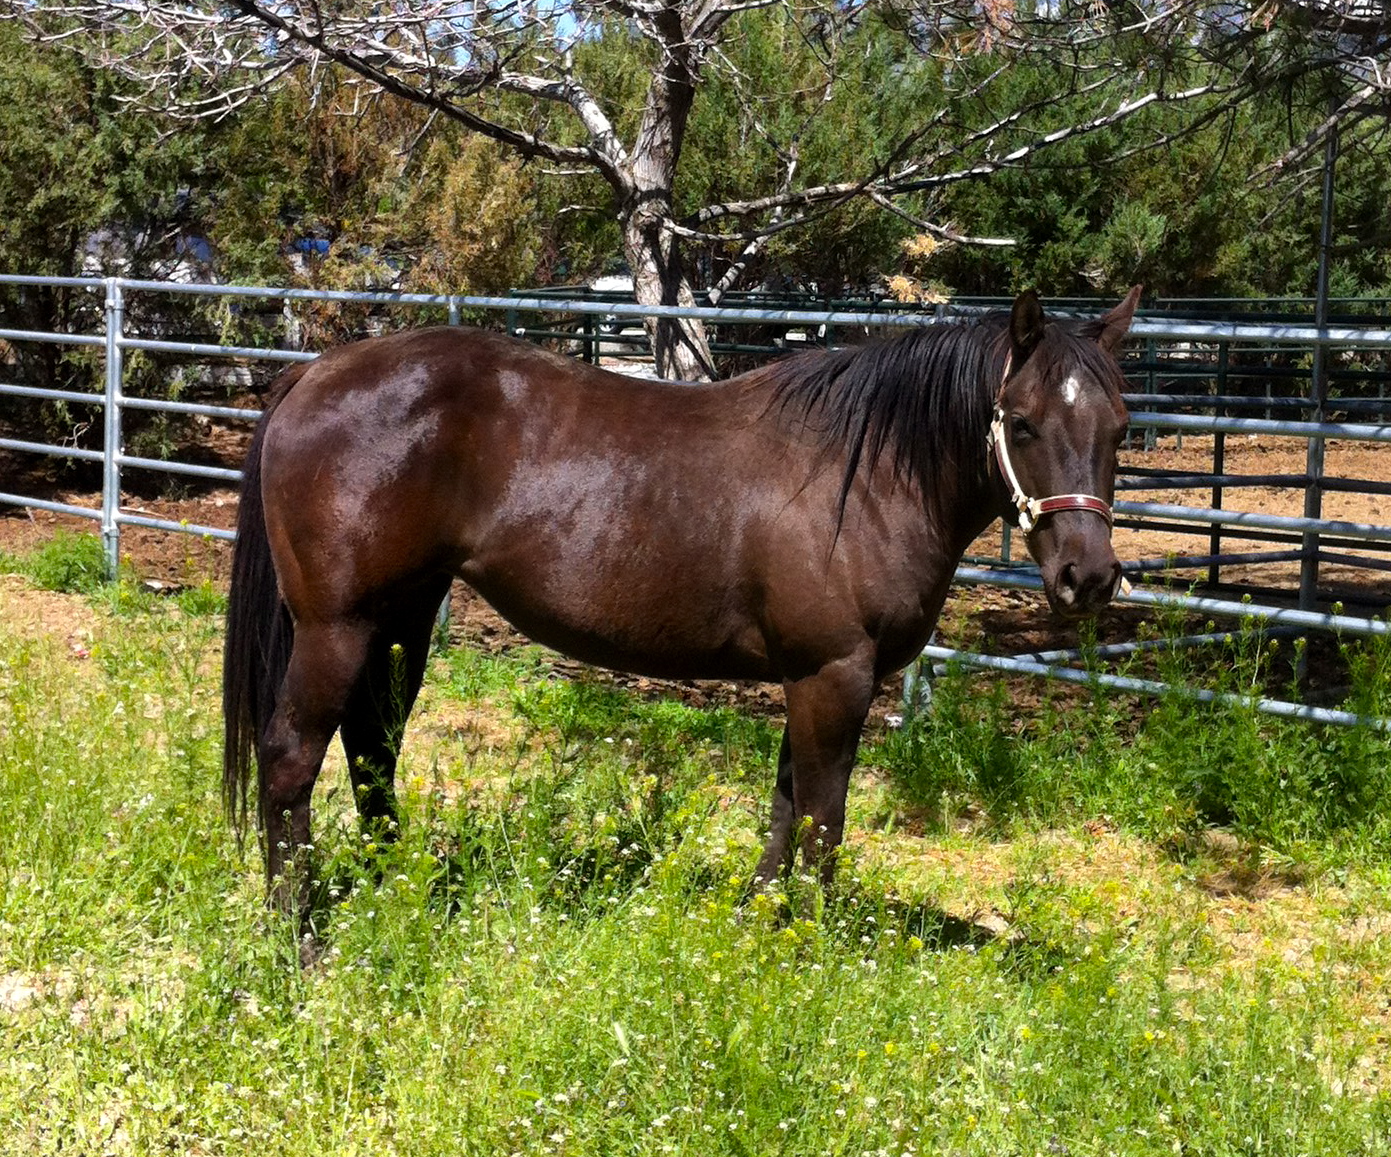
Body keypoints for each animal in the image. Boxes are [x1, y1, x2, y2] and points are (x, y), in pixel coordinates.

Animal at [223, 287, 1139, 915]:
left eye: (1121, 426)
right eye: (1020, 422)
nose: (1087, 577)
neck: (863, 473)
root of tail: (313, 373)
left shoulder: (810, 675)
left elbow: (785, 803)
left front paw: (757, 918)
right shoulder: (834, 673)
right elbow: (824, 815)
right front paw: (811, 944)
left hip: (403, 619)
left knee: (372, 747)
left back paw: (388, 891)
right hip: (336, 627)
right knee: (292, 758)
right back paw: (301, 936)